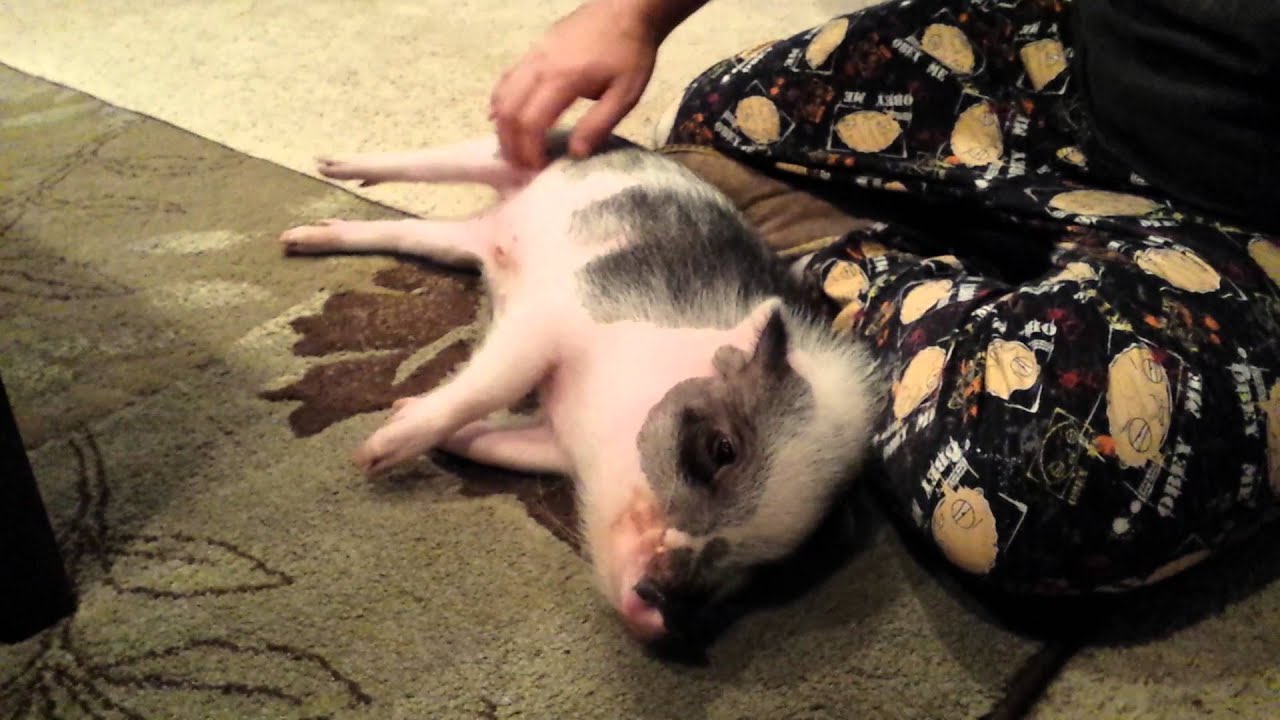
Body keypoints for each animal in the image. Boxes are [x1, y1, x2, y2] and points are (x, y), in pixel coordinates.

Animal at [278, 132, 883, 645]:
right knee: (436, 160)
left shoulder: (552, 440)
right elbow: (489, 385)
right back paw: (331, 169)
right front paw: (371, 454)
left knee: (411, 233)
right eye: (721, 448)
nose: (664, 614)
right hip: (520, 150)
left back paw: (298, 238)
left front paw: (403, 410)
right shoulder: (554, 319)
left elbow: (499, 445)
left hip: (459, 242)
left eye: (769, 567)